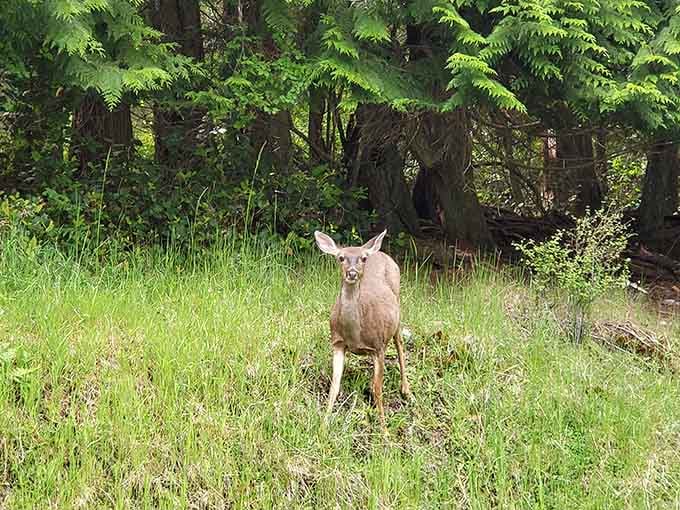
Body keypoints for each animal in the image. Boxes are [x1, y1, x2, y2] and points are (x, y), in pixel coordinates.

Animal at [314, 229, 411, 429]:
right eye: (341, 257)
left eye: (363, 258)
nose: (352, 273)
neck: (355, 336)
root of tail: (380, 252)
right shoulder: (337, 343)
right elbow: (334, 386)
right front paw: (324, 424)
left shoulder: (379, 346)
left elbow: (378, 389)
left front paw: (384, 429)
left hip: (397, 311)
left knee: (399, 343)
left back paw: (406, 389)